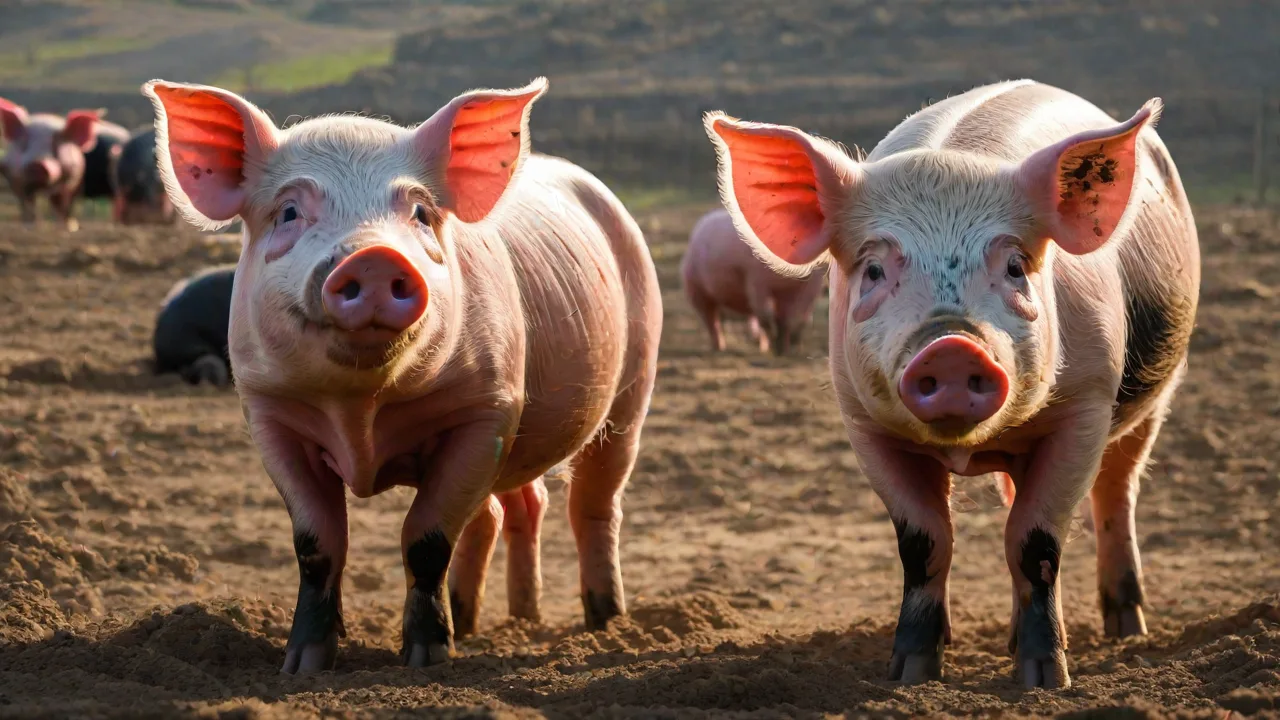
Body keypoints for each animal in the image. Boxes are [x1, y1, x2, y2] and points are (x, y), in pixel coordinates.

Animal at [0, 98, 102, 231]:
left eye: (56, 145)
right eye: (24, 144)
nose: (38, 163)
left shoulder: (68, 182)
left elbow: (62, 204)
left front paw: (64, 228)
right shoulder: (16, 180)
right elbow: (27, 204)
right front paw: (31, 226)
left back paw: (71, 225)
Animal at [144, 76, 662, 672]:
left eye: (419, 213)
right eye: (289, 212)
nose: (373, 258)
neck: (359, 414)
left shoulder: (487, 408)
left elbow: (427, 537)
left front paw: (427, 660)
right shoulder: (268, 412)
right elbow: (317, 542)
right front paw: (302, 665)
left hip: (634, 380)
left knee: (594, 504)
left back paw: (604, 622)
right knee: (509, 510)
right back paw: (501, 619)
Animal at [681, 207, 826, 355]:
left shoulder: (801, 289)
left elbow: (787, 320)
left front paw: (783, 350)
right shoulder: (756, 280)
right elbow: (767, 316)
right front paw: (778, 347)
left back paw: (765, 347)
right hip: (695, 287)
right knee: (711, 319)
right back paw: (719, 348)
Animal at [704, 79, 1199, 689]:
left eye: (1015, 266)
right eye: (873, 270)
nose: (952, 345)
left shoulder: (1085, 404)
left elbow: (1036, 540)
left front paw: (1044, 680)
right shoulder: (863, 422)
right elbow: (924, 542)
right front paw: (911, 672)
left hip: (1156, 390)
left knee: (1116, 492)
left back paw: (1127, 629)